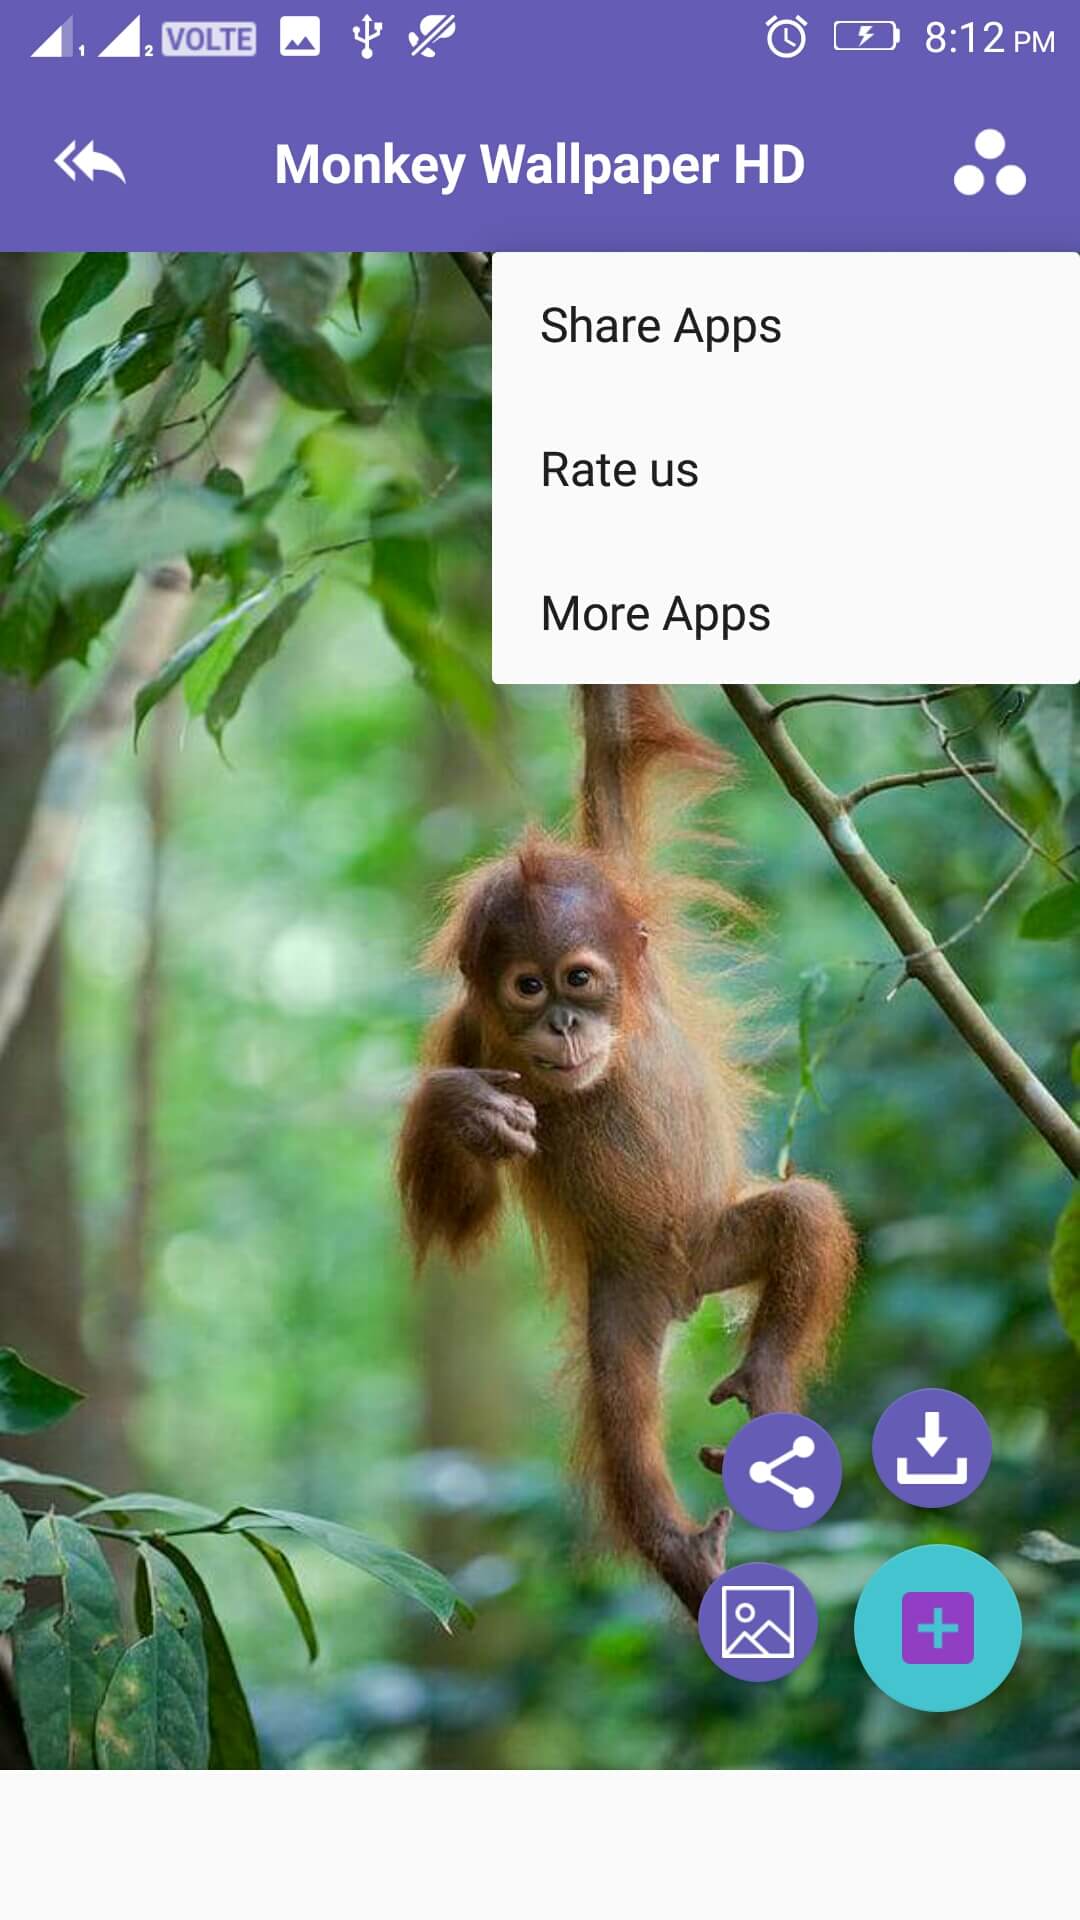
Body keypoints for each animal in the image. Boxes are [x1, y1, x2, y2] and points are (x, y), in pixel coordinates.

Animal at [398, 687, 856, 1619]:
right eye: (526, 987)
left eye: (578, 978)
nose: (561, 1025)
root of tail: (684, 1288)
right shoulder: (466, 1035)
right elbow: (457, 1217)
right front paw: (461, 1108)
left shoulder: (622, 874)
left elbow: (612, 740)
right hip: (624, 1297)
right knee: (620, 1409)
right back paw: (685, 1553)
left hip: (718, 1240)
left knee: (803, 1212)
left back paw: (764, 1394)